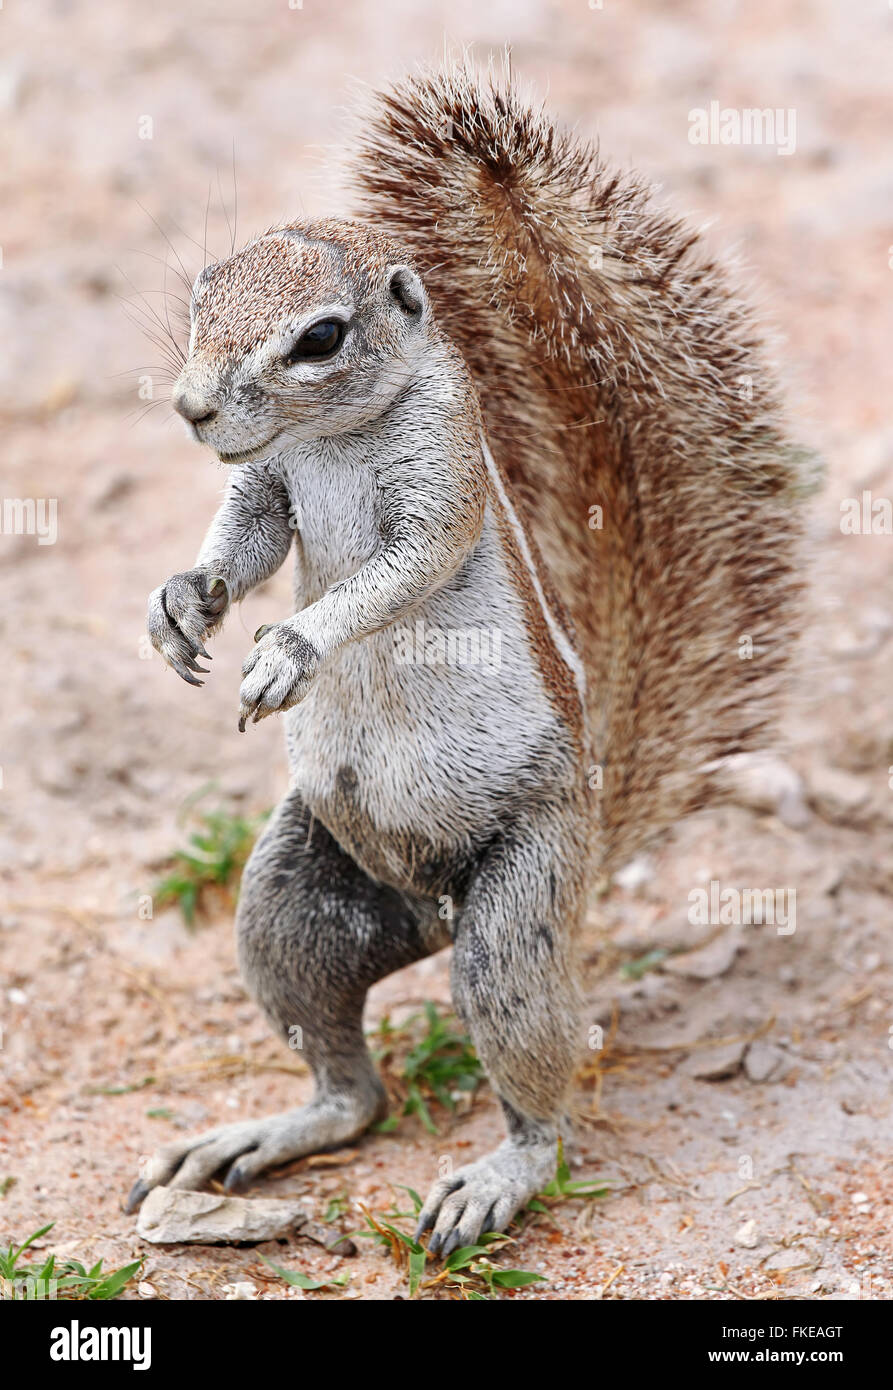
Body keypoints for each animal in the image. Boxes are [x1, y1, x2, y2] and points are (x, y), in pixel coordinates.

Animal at [126, 60, 807, 1257]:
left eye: (320, 338)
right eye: (203, 291)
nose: (191, 407)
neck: (330, 440)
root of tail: (424, 916)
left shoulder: (440, 478)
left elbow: (401, 570)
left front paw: (288, 651)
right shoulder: (269, 484)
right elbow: (244, 542)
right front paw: (182, 604)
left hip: (515, 911)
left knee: (535, 1083)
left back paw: (497, 1176)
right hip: (289, 904)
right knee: (349, 1086)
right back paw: (264, 1132)